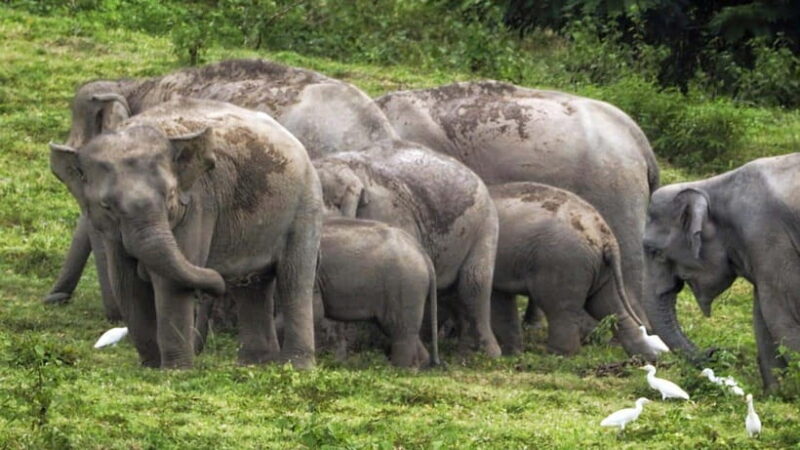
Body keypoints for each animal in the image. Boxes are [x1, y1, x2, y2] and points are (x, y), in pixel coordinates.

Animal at [49, 97, 323, 369]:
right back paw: (255, 364)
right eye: (106, 205)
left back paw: (295, 366)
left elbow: (171, 284)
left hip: (305, 204)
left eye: (170, 195)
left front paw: (176, 371)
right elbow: (126, 282)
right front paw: (151, 366)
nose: (214, 285)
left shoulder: (198, 204)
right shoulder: (111, 231)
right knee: (253, 285)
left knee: (294, 279)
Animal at [312, 217, 439, 368]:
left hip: (405, 284)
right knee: (399, 329)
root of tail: (423, 254)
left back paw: (399, 369)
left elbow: (316, 312)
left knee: (399, 328)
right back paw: (419, 365)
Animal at [488, 182, 657, 359]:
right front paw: (511, 354)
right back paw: (645, 357)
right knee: (607, 306)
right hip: (602, 269)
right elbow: (500, 299)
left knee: (560, 309)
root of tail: (604, 234)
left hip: (562, 262)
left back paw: (558, 357)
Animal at [643, 153, 800, 391]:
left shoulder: (770, 238)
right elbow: (763, 317)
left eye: (655, 252)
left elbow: (782, 315)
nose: (714, 351)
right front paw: (776, 393)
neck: (712, 186)